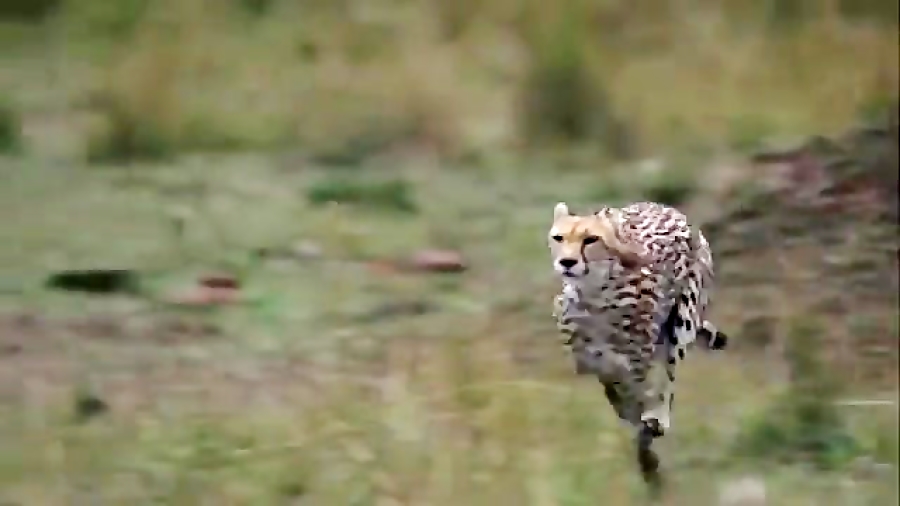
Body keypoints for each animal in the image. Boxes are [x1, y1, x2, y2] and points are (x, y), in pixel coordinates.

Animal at [547, 200, 728, 493]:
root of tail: (665, 208)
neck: (593, 297)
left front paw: (649, 435)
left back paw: (657, 420)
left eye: (591, 239)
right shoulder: (597, 366)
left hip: (683, 320)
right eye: (558, 238)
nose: (567, 262)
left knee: (668, 377)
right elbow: (621, 399)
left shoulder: (636, 363)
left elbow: (643, 396)